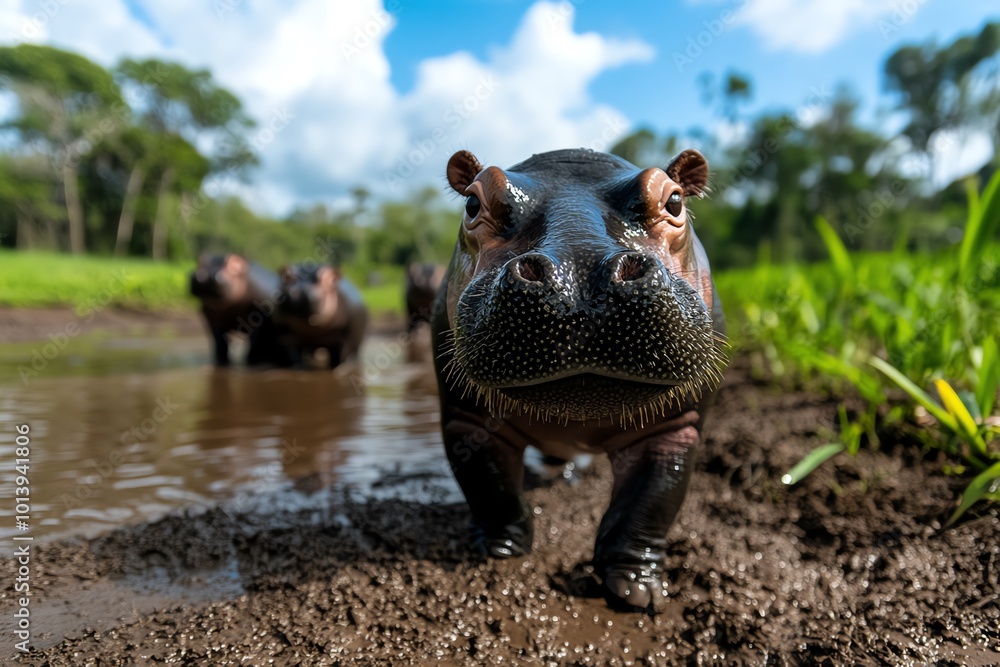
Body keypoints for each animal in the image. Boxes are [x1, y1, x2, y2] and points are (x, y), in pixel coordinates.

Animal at [432, 148, 727, 612]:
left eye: (676, 201)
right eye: (473, 204)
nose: (579, 275)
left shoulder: (675, 427)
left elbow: (650, 502)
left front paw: (636, 591)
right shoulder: (467, 419)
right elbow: (489, 488)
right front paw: (499, 553)